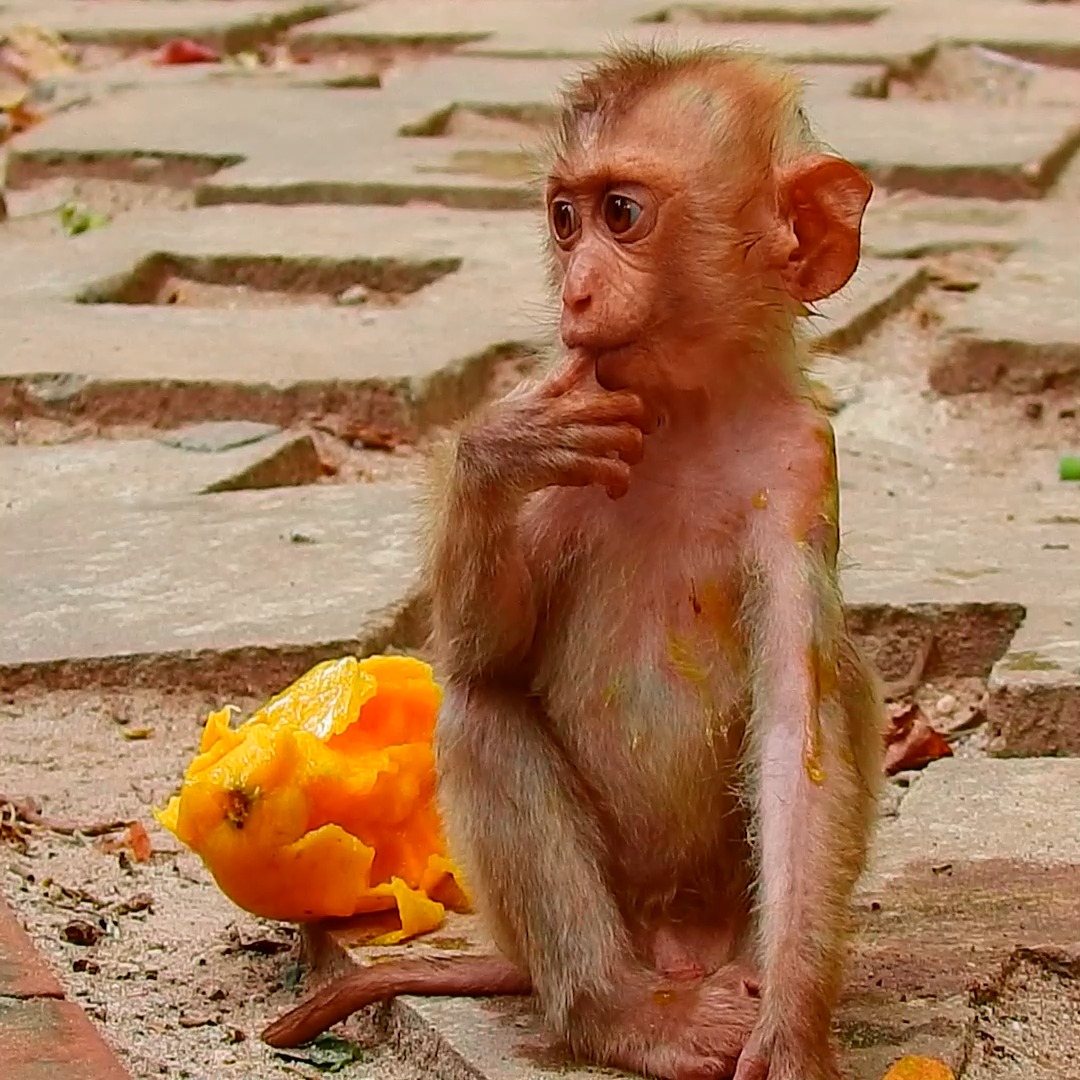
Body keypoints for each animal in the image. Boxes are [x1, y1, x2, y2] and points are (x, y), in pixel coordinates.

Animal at [263, 44, 884, 1080]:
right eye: (565, 218)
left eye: (621, 214)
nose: (575, 293)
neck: (689, 416)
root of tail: (672, 949)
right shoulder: (585, 419)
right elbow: (488, 653)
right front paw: (496, 446)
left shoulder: (803, 464)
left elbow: (800, 725)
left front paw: (796, 1029)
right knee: (481, 711)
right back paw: (617, 1015)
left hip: (720, 914)